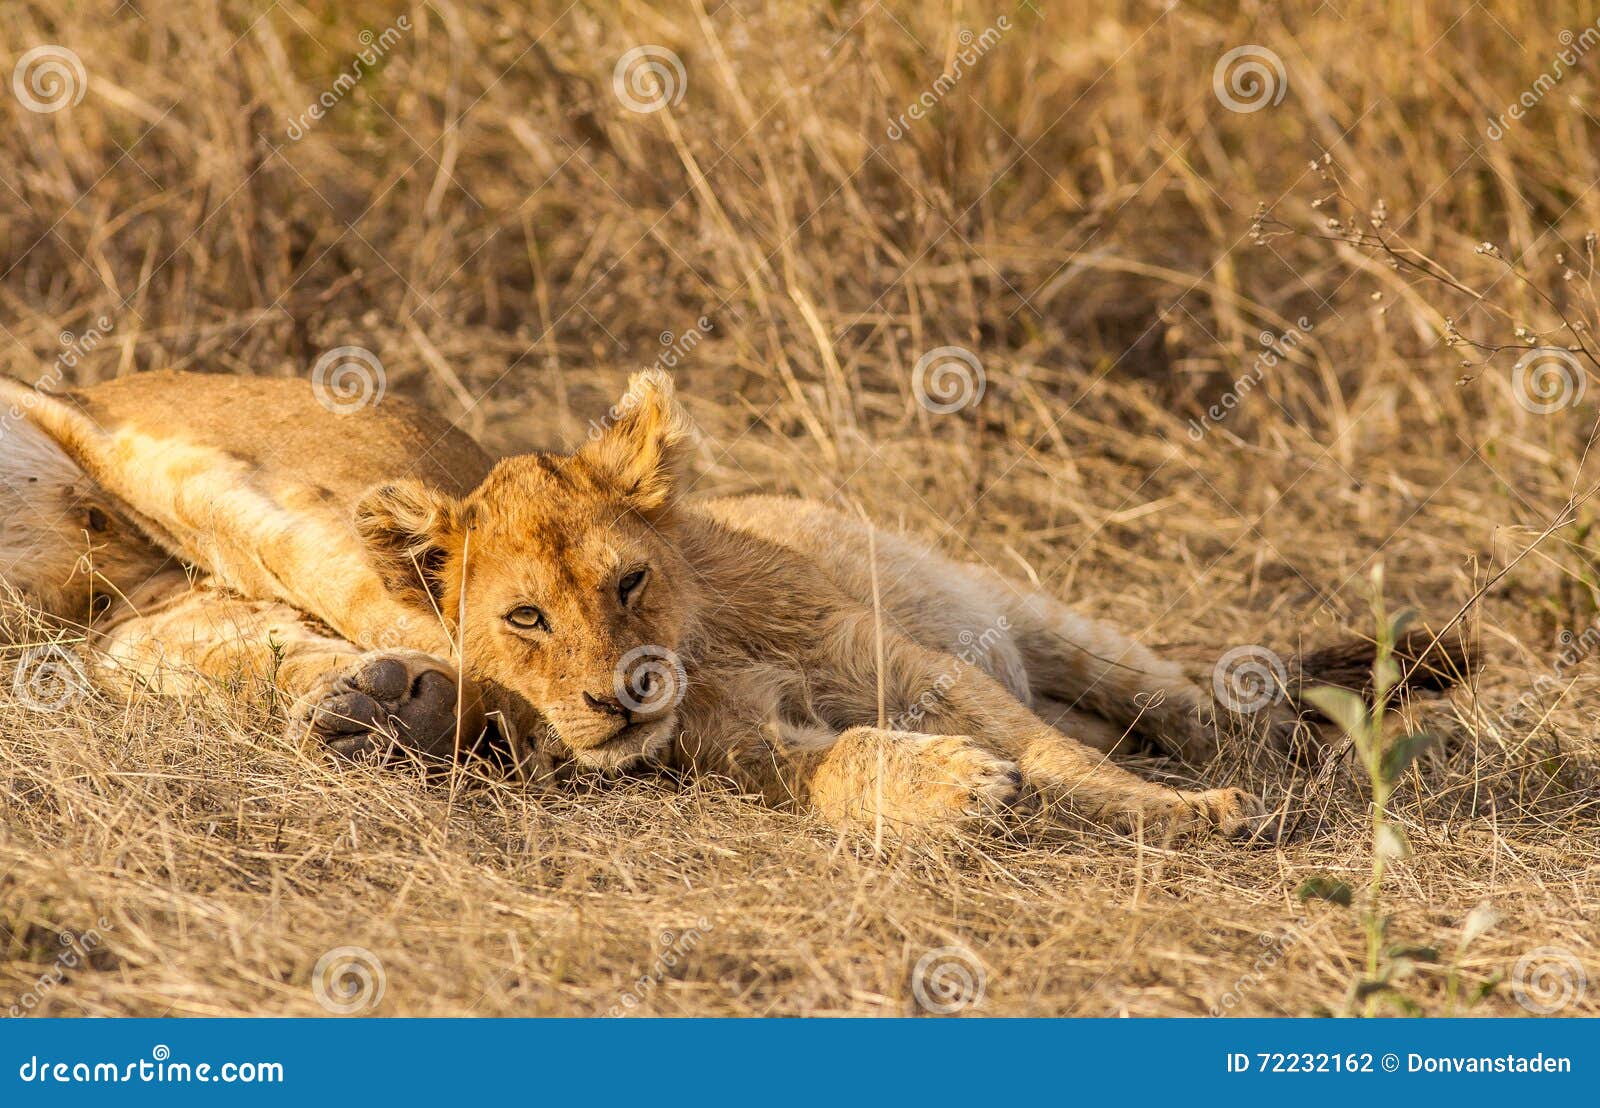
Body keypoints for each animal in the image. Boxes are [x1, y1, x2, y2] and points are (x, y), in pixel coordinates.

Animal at [1, 369, 1471, 838]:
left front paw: (1187, 813)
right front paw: (946, 793)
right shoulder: (735, 739)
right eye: (527, 617)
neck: (712, 645)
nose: (615, 699)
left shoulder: (901, 655)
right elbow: (827, 771)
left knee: (1157, 685)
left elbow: (1037, 743)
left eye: (628, 579)